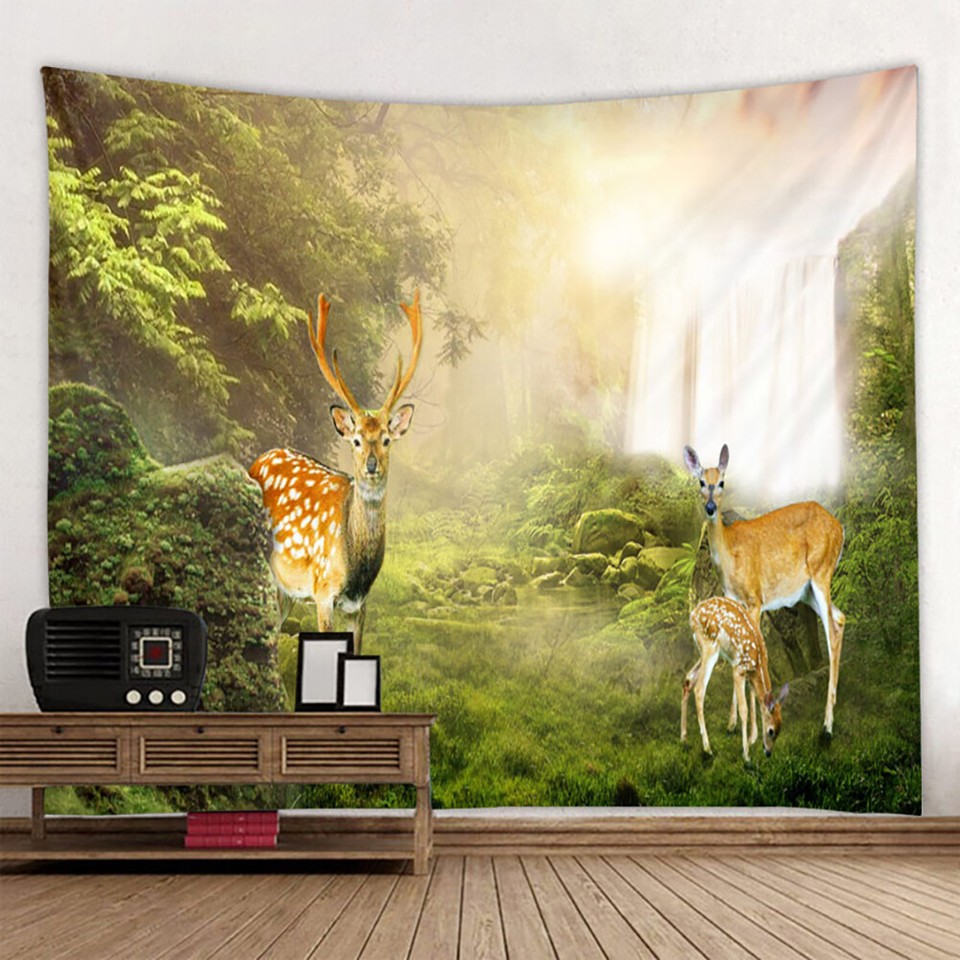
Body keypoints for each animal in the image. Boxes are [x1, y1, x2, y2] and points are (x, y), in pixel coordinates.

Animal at [249, 291, 422, 655]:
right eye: (356, 440)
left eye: (386, 439)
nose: (371, 465)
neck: (355, 566)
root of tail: (258, 459)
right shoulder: (322, 590)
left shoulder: (359, 605)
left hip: (285, 589)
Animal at [682, 444, 846, 735]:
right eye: (701, 481)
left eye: (722, 482)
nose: (711, 508)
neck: (729, 555)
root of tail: (840, 527)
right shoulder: (733, 601)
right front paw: (732, 723)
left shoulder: (755, 598)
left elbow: (754, 648)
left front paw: (753, 725)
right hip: (806, 590)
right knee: (840, 617)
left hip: (821, 570)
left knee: (832, 629)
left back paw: (827, 724)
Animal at [682, 596, 789, 762]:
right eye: (771, 731)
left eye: (779, 730)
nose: (768, 752)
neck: (758, 663)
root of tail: (693, 614)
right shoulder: (738, 669)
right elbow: (743, 709)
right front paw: (746, 754)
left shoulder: (749, 676)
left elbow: (753, 698)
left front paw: (751, 739)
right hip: (710, 645)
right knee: (699, 688)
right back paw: (707, 748)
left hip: (705, 650)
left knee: (688, 678)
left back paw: (684, 738)